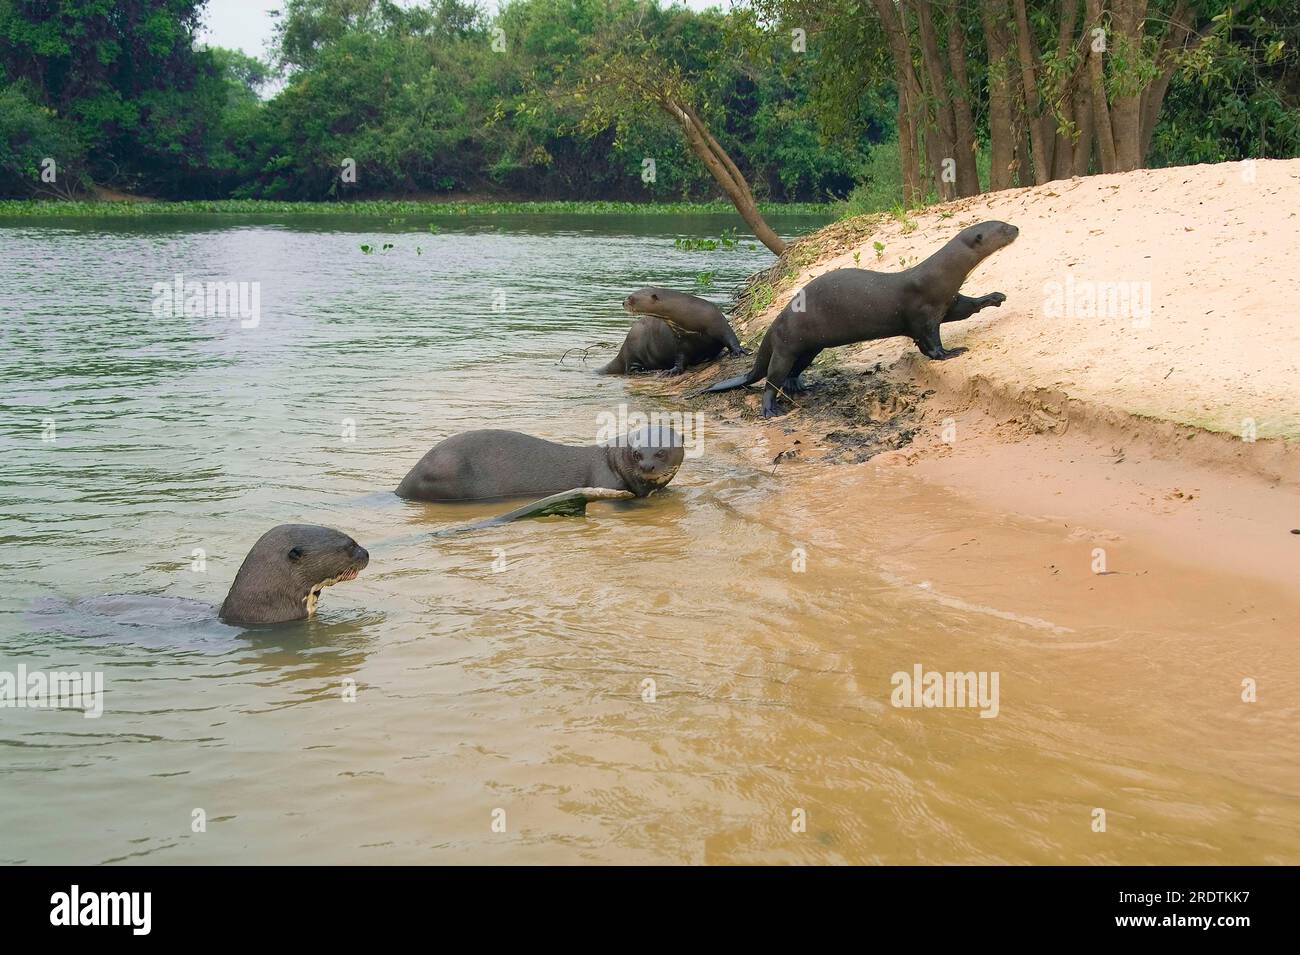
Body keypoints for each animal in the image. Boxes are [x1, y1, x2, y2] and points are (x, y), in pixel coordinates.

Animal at [695, 221, 1019, 417]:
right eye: (1002, 228)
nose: (1016, 227)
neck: (941, 276)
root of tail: (774, 322)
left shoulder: (948, 302)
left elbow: (966, 308)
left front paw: (994, 297)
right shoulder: (923, 312)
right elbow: (929, 341)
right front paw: (949, 353)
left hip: (809, 348)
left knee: (792, 373)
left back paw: (802, 387)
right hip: (786, 346)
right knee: (771, 380)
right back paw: (769, 408)